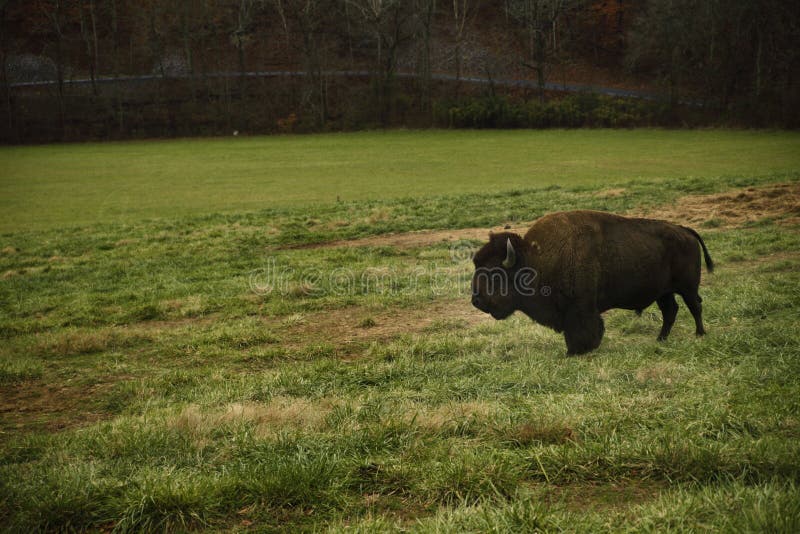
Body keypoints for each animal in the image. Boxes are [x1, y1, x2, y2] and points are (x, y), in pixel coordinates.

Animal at [471, 210, 714, 355]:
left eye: (494, 272)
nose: (476, 301)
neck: (534, 261)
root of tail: (685, 231)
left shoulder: (580, 308)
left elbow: (583, 329)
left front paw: (577, 351)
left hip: (687, 287)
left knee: (695, 306)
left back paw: (700, 334)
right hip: (663, 292)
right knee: (671, 310)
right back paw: (660, 339)